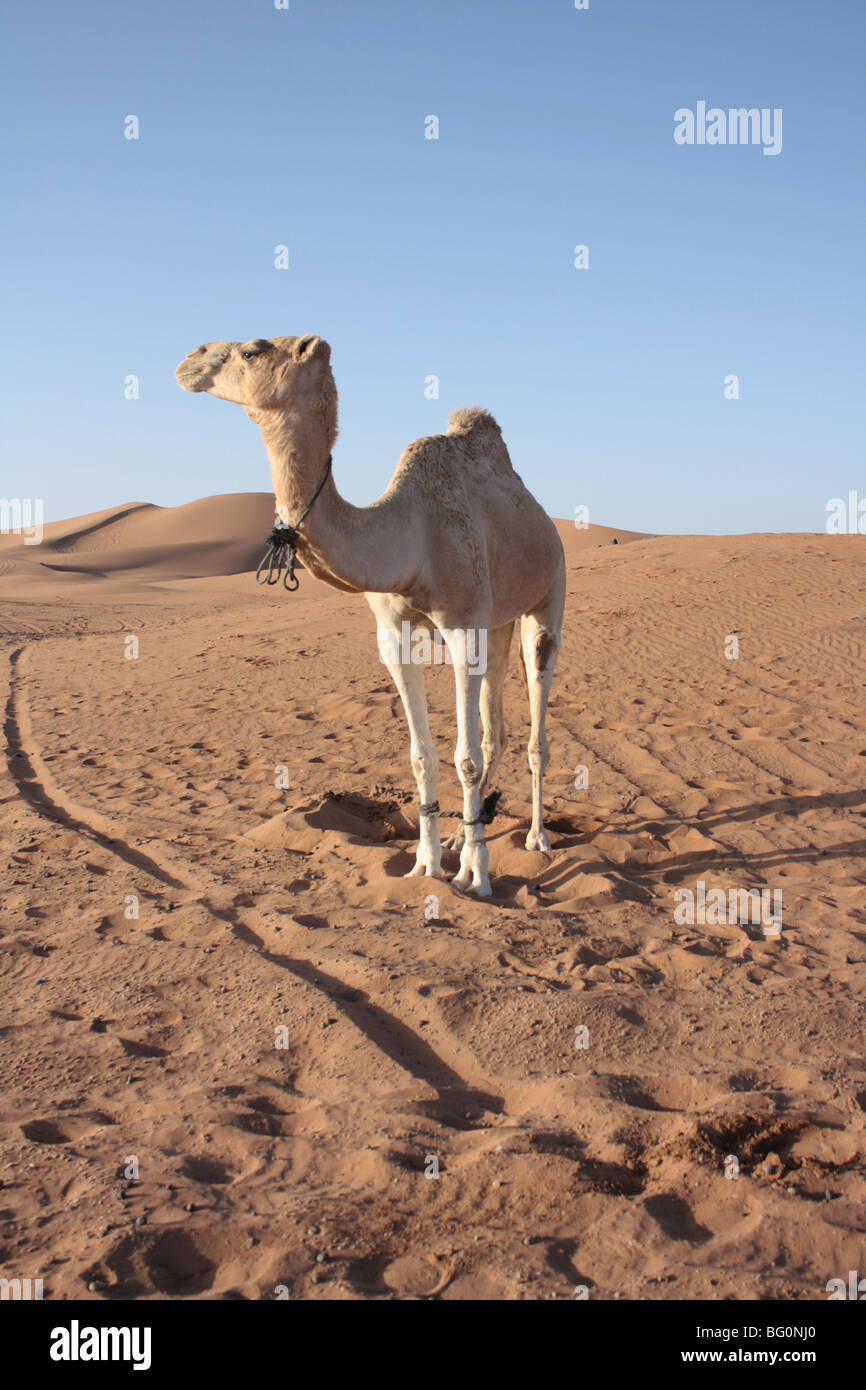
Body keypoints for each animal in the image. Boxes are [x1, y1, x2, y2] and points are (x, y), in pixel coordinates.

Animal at [175, 334, 565, 897]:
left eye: (252, 351)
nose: (189, 360)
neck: (411, 533)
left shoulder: (462, 624)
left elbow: (464, 758)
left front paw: (475, 875)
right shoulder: (394, 635)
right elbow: (422, 755)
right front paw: (427, 863)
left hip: (547, 597)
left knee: (535, 726)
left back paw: (535, 837)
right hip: (499, 620)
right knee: (497, 731)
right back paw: (462, 835)